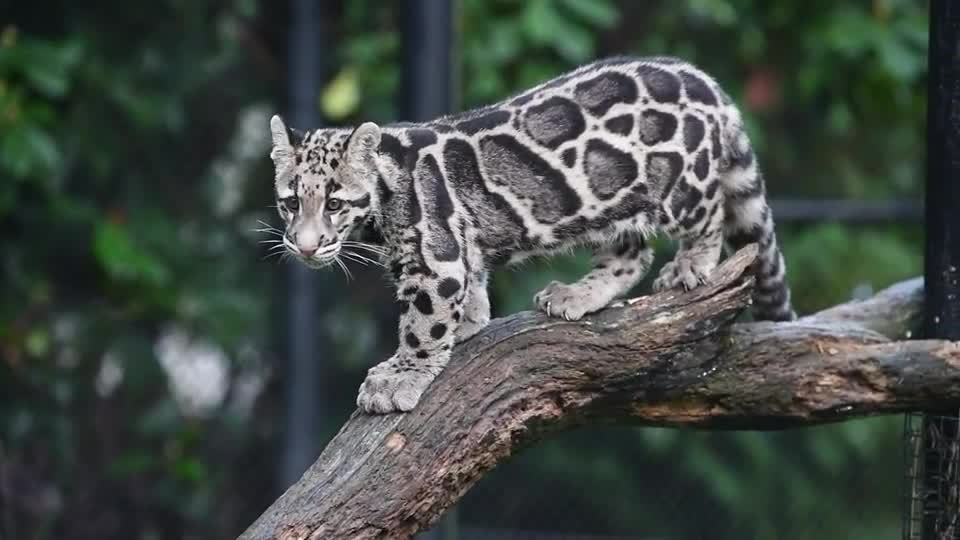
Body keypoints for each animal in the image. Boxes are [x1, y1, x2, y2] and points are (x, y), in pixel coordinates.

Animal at [266, 55, 795, 415]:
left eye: (335, 204)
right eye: (290, 202)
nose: (305, 245)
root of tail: (703, 80)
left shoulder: (435, 259)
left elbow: (422, 324)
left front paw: (400, 376)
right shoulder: (457, 251)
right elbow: (470, 291)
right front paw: (470, 322)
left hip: (680, 186)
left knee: (709, 217)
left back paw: (691, 265)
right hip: (602, 204)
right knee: (631, 253)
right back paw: (578, 295)